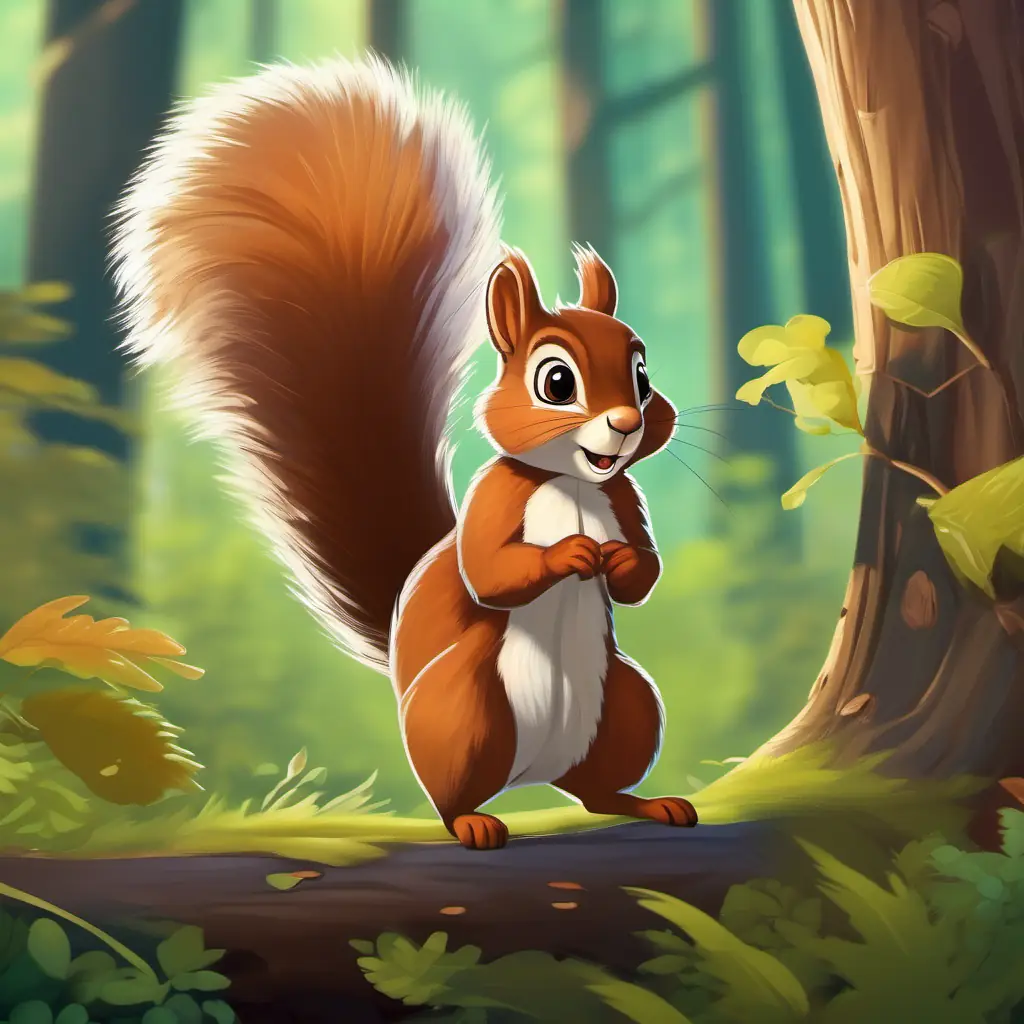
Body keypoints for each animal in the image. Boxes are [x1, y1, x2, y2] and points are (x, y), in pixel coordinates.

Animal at [111, 56, 698, 851]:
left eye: (642, 374)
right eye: (556, 381)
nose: (629, 423)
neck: (573, 485)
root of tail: (530, 775)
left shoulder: (621, 498)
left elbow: (642, 576)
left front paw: (620, 562)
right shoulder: (497, 501)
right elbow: (489, 572)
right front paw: (572, 556)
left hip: (628, 705)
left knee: (595, 790)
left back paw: (648, 803)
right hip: (465, 710)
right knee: (457, 797)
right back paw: (474, 822)